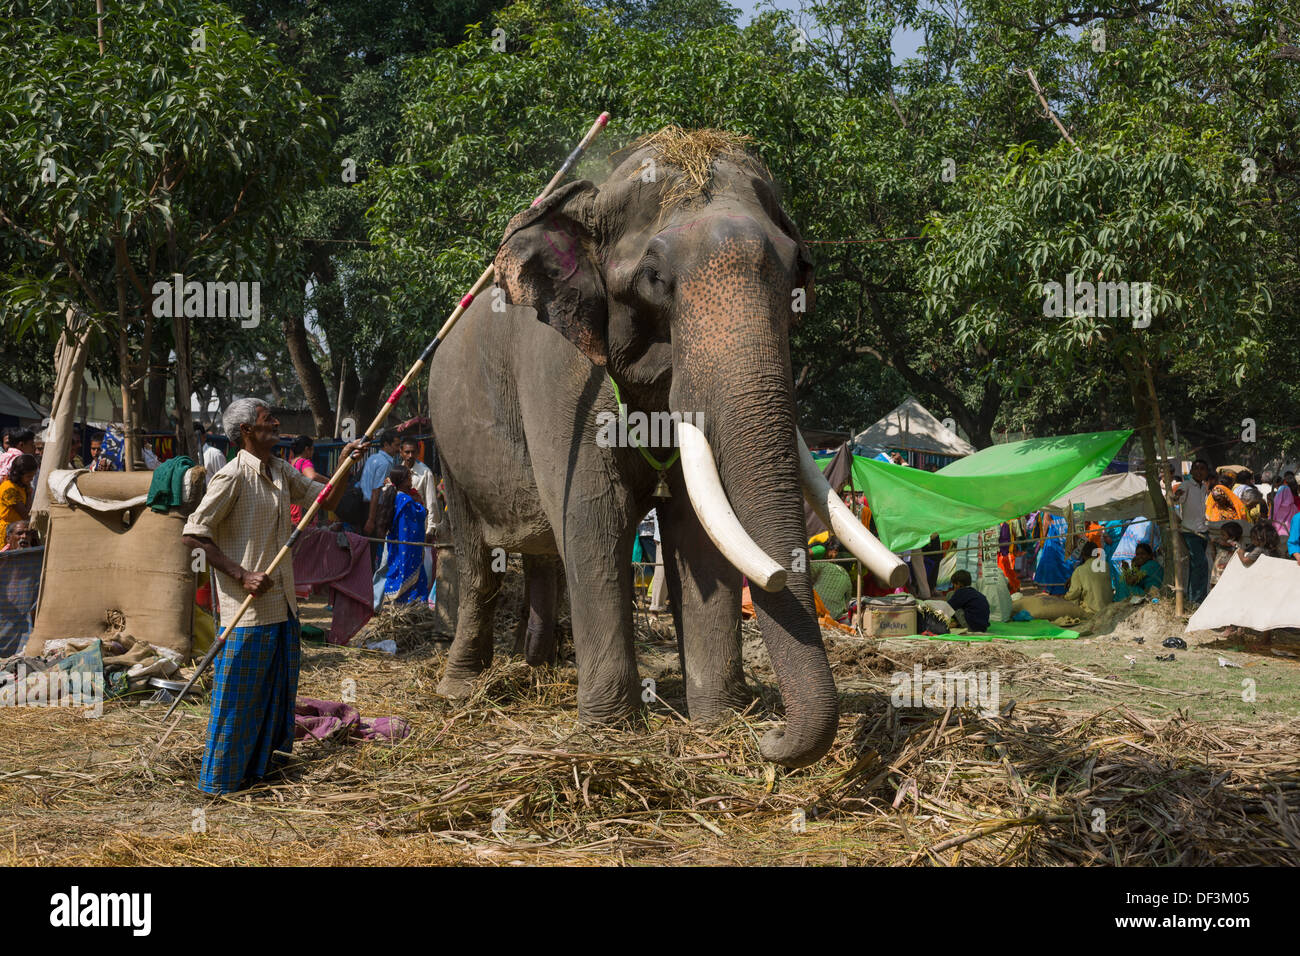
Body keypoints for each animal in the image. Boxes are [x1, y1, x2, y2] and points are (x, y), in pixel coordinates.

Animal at [428, 128, 905, 768]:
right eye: (654, 277)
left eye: (801, 268)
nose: (772, 739)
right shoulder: (562, 379)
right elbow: (593, 518)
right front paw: (609, 731)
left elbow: (699, 530)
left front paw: (719, 722)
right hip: (445, 442)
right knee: (480, 559)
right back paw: (461, 687)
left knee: (540, 554)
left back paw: (541, 669)